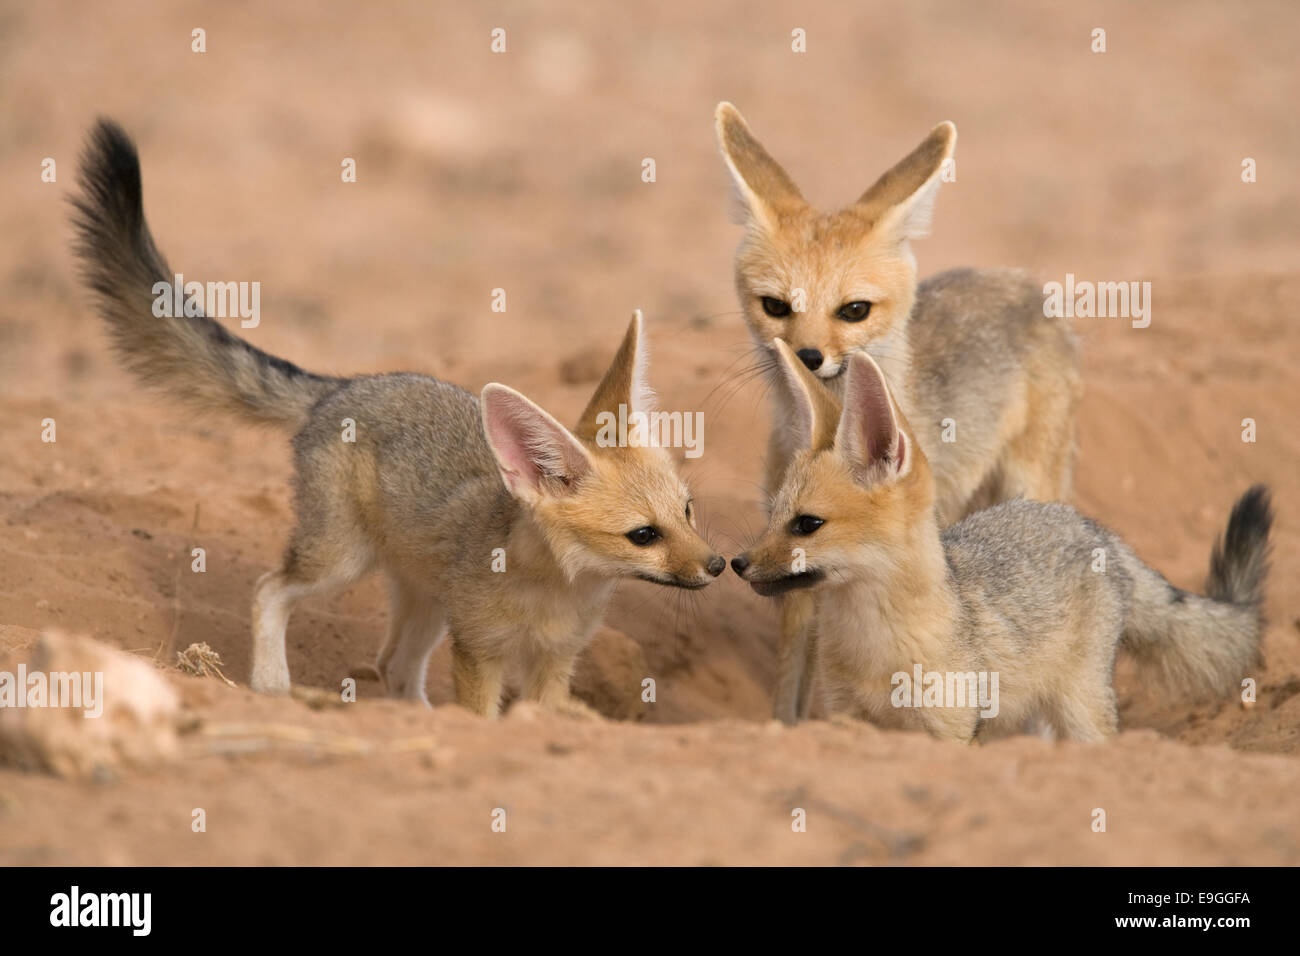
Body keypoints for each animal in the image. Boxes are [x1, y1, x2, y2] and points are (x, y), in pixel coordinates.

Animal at [70, 119, 725, 717]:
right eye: (644, 535)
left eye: (688, 511)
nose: (719, 564)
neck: (554, 594)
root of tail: (346, 385)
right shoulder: (478, 650)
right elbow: (481, 714)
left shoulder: (555, 660)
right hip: (341, 560)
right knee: (269, 591)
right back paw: (273, 684)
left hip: (424, 600)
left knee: (395, 666)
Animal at [714, 103, 1082, 723]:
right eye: (776, 307)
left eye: (854, 311)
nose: (808, 357)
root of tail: (1018, 279)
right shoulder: (791, 552)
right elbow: (794, 675)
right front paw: (788, 729)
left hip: (1029, 483)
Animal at [730, 340, 1273, 742]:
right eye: (773, 516)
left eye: (806, 525)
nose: (737, 563)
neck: (874, 646)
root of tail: (1090, 526)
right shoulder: (848, 717)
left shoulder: (950, 731)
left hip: (1082, 710)